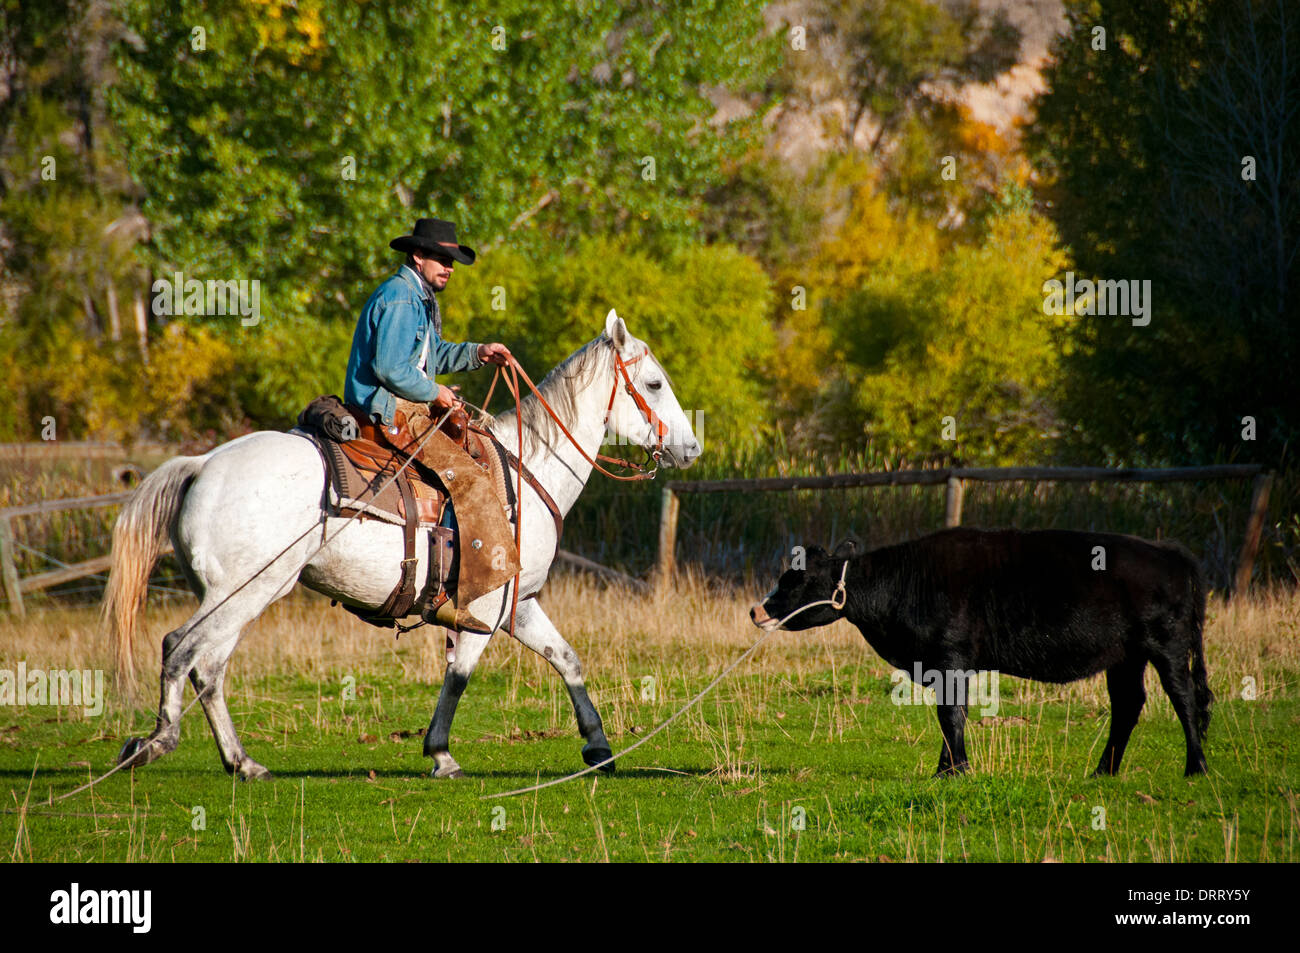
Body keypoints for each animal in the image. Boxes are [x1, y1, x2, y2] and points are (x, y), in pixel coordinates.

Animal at [750, 529, 1212, 777]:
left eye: (796, 578)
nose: (757, 610)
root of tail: (1168, 551)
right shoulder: (950, 667)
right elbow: (952, 714)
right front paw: (946, 768)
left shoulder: (949, 658)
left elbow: (950, 714)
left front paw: (956, 770)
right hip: (1125, 656)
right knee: (1129, 704)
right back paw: (1104, 770)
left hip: (1166, 645)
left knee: (1185, 699)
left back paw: (1196, 767)